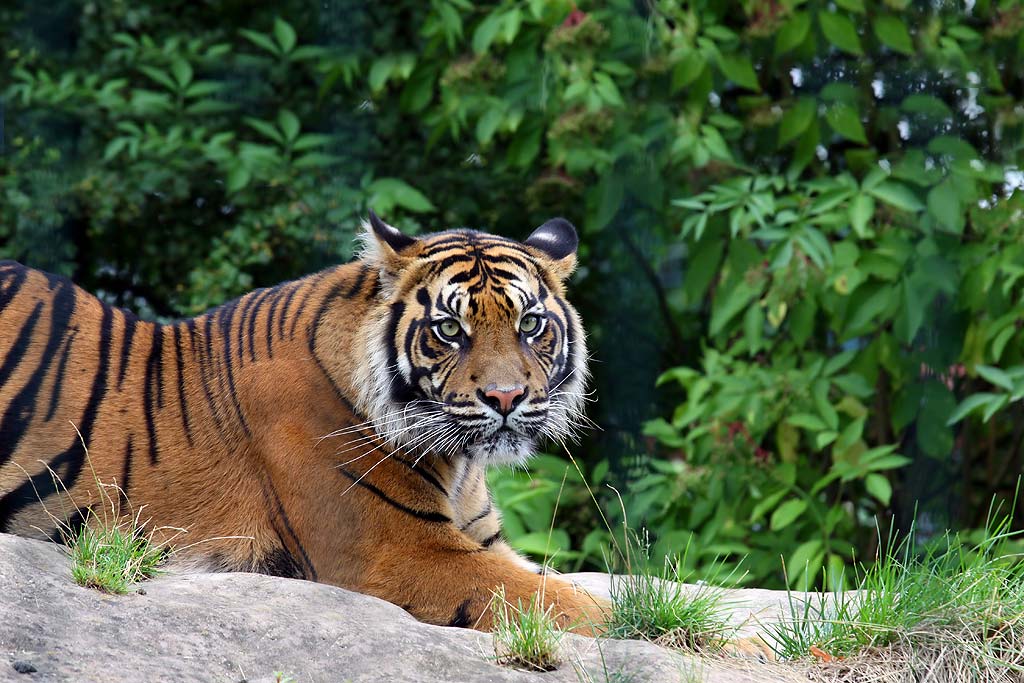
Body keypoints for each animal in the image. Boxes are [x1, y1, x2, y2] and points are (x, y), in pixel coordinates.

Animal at [0, 213, 608, 632]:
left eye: (530, 324)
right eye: (450, 329)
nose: (506, 397)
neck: (459, 462)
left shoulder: (484, 539)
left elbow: (563, 583)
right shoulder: (404, 552)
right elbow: (562, 601)